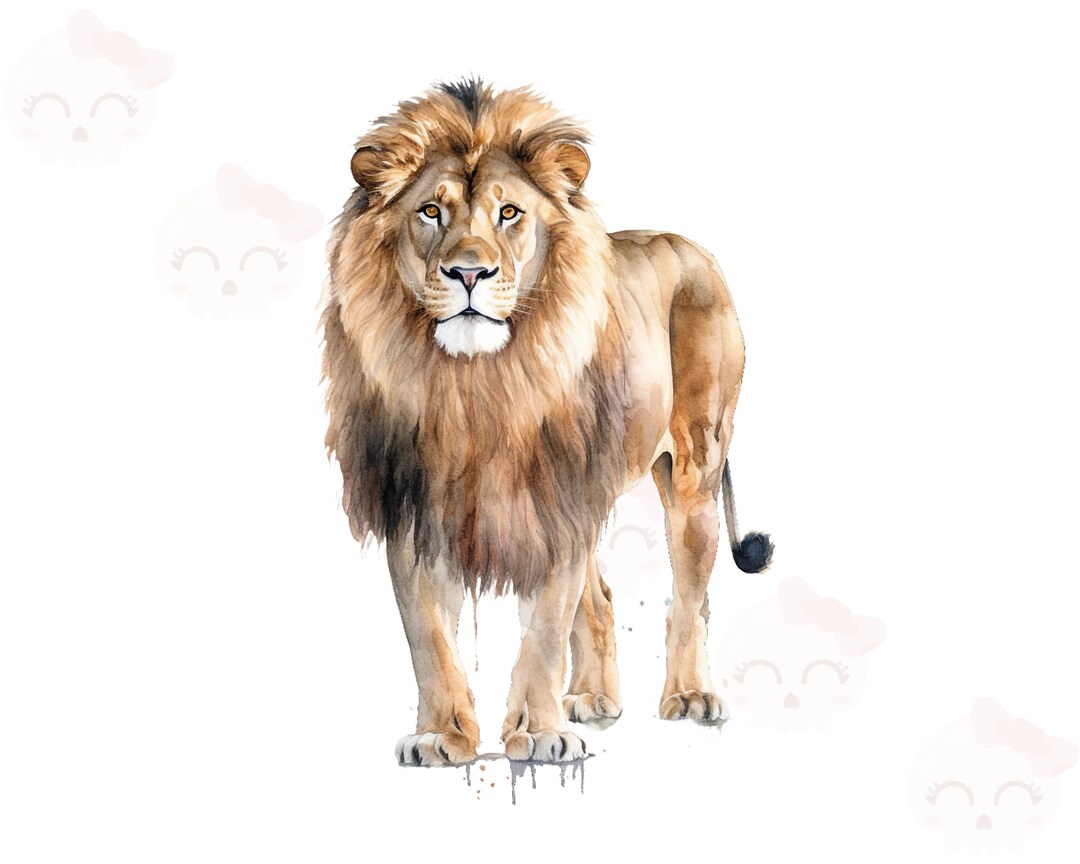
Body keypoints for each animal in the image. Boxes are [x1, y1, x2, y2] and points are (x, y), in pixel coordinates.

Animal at [322, 79, 772, 766]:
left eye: (510, 213)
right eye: (430, 212)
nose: (469, 272)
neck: (472, 387)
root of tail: (690, 247)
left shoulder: (557, 496)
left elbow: (544, 628)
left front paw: (537, 736)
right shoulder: (415, 504)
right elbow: (429, 636)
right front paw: (441, 736)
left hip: (693, 469)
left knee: (691, 595)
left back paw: (690, 697)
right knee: (604, 600)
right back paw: (592, 700)